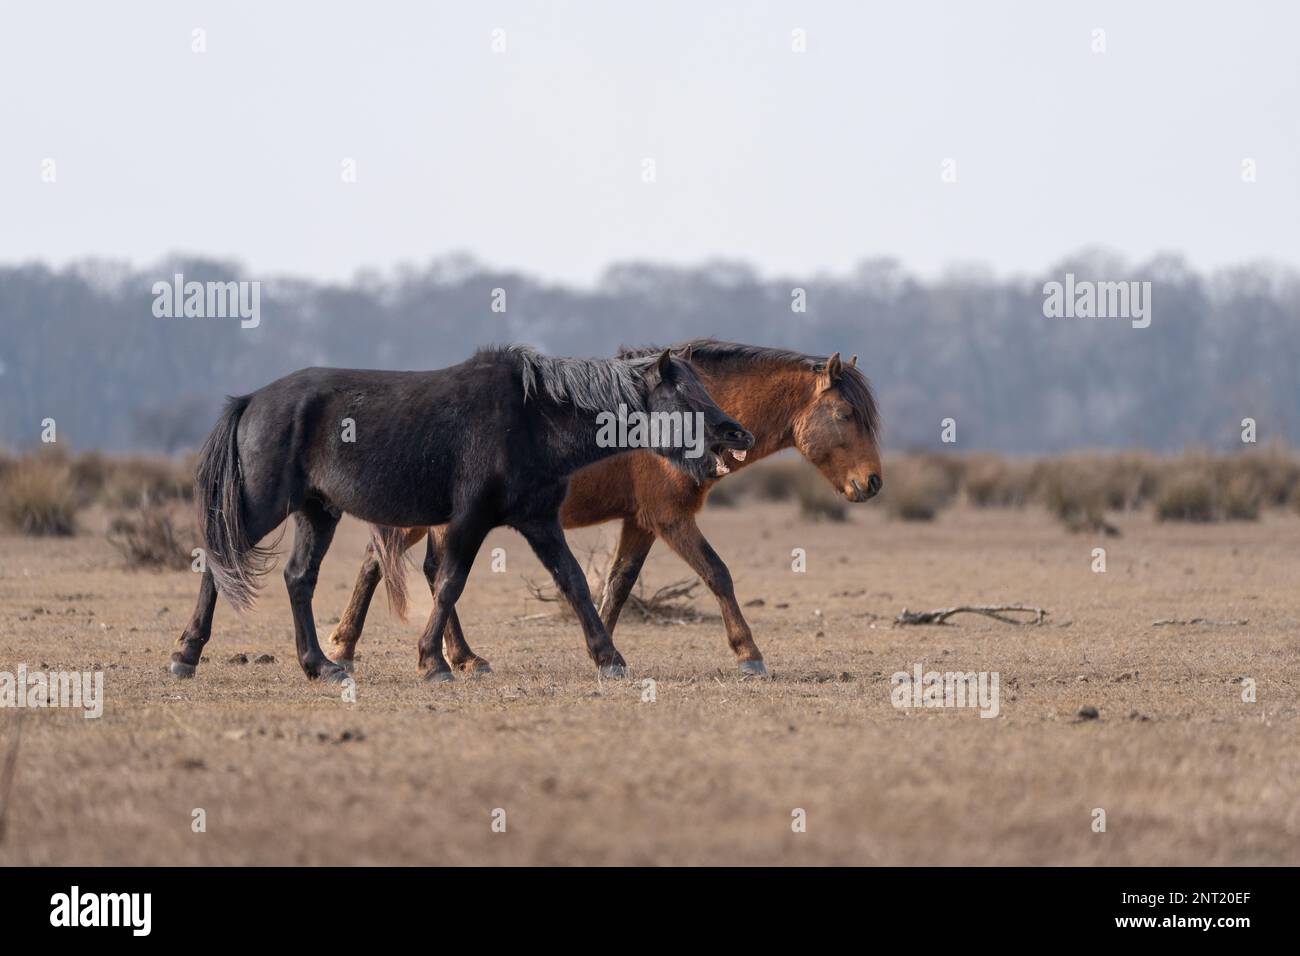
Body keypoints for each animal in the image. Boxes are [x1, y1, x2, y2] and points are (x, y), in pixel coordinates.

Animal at [171, 346, 754, 685]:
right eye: (684, 394)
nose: (738, 433)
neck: (532, 416)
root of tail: (250, 400)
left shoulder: (540, 522)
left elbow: (573, 582)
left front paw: (608, 657)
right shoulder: (469, 521)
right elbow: (451, 581)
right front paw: (433, 662)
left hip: (318, 513)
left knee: (297, 578)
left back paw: (320, 665)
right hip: (262, 507)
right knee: (220, 563)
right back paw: (187, 654)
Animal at [326, 339, 881, 678]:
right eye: (844, 413)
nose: (872, 482)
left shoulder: (641, 523)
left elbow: (617, 584)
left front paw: (602, 648)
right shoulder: (669, 518)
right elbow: (717, 574)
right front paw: (749, 654)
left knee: (400, 565)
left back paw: (429, 654)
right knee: (396, 565)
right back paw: (365, 648)